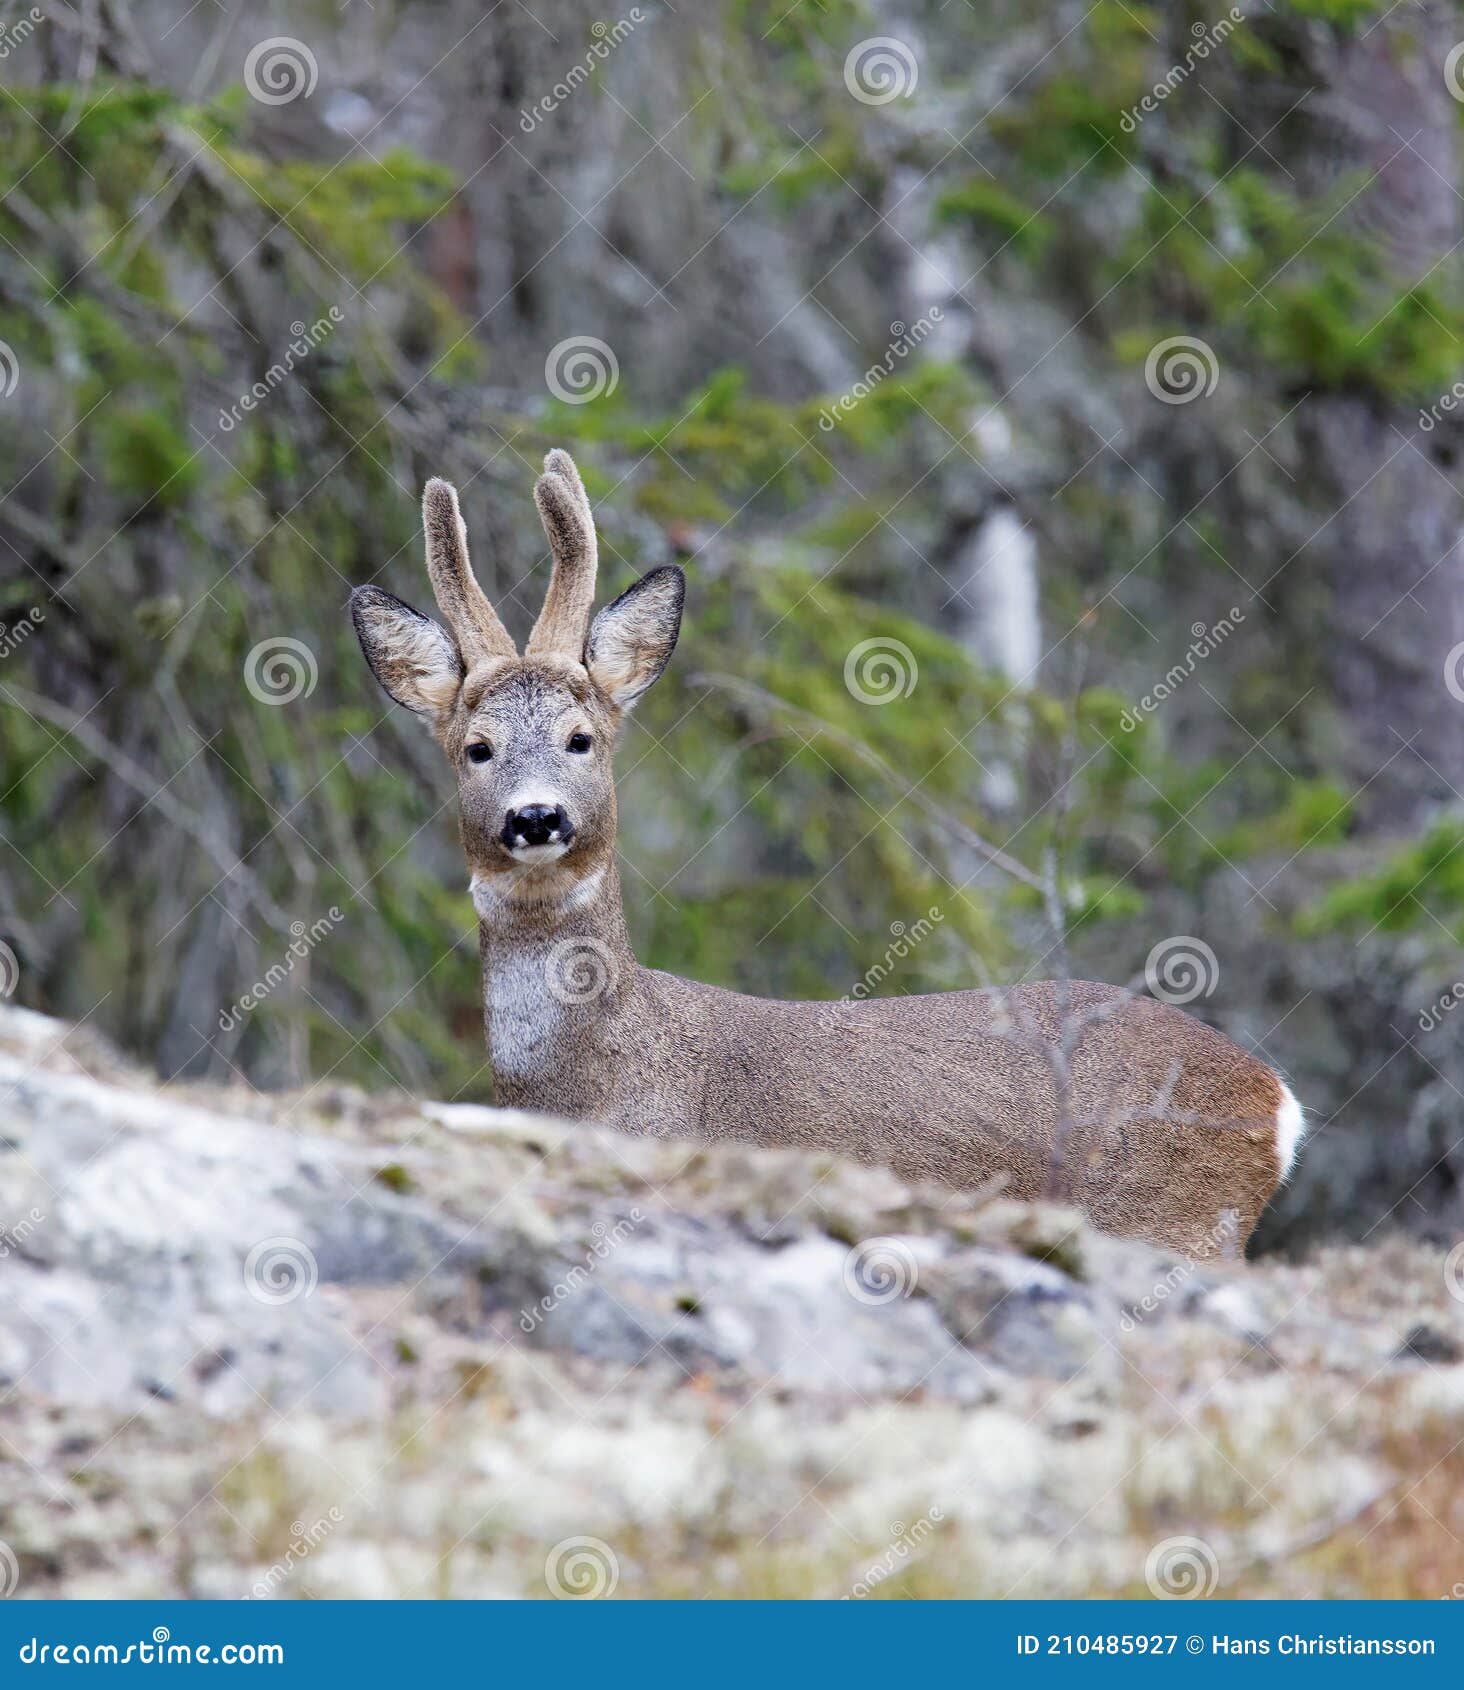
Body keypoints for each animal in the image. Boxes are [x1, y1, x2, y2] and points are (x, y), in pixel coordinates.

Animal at [349, 449, 1304, 1260]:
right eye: (476, 749)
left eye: (581, 738)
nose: (537, 817)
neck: (611, 1081)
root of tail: (1278, 1099)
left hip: (1170, 1219)